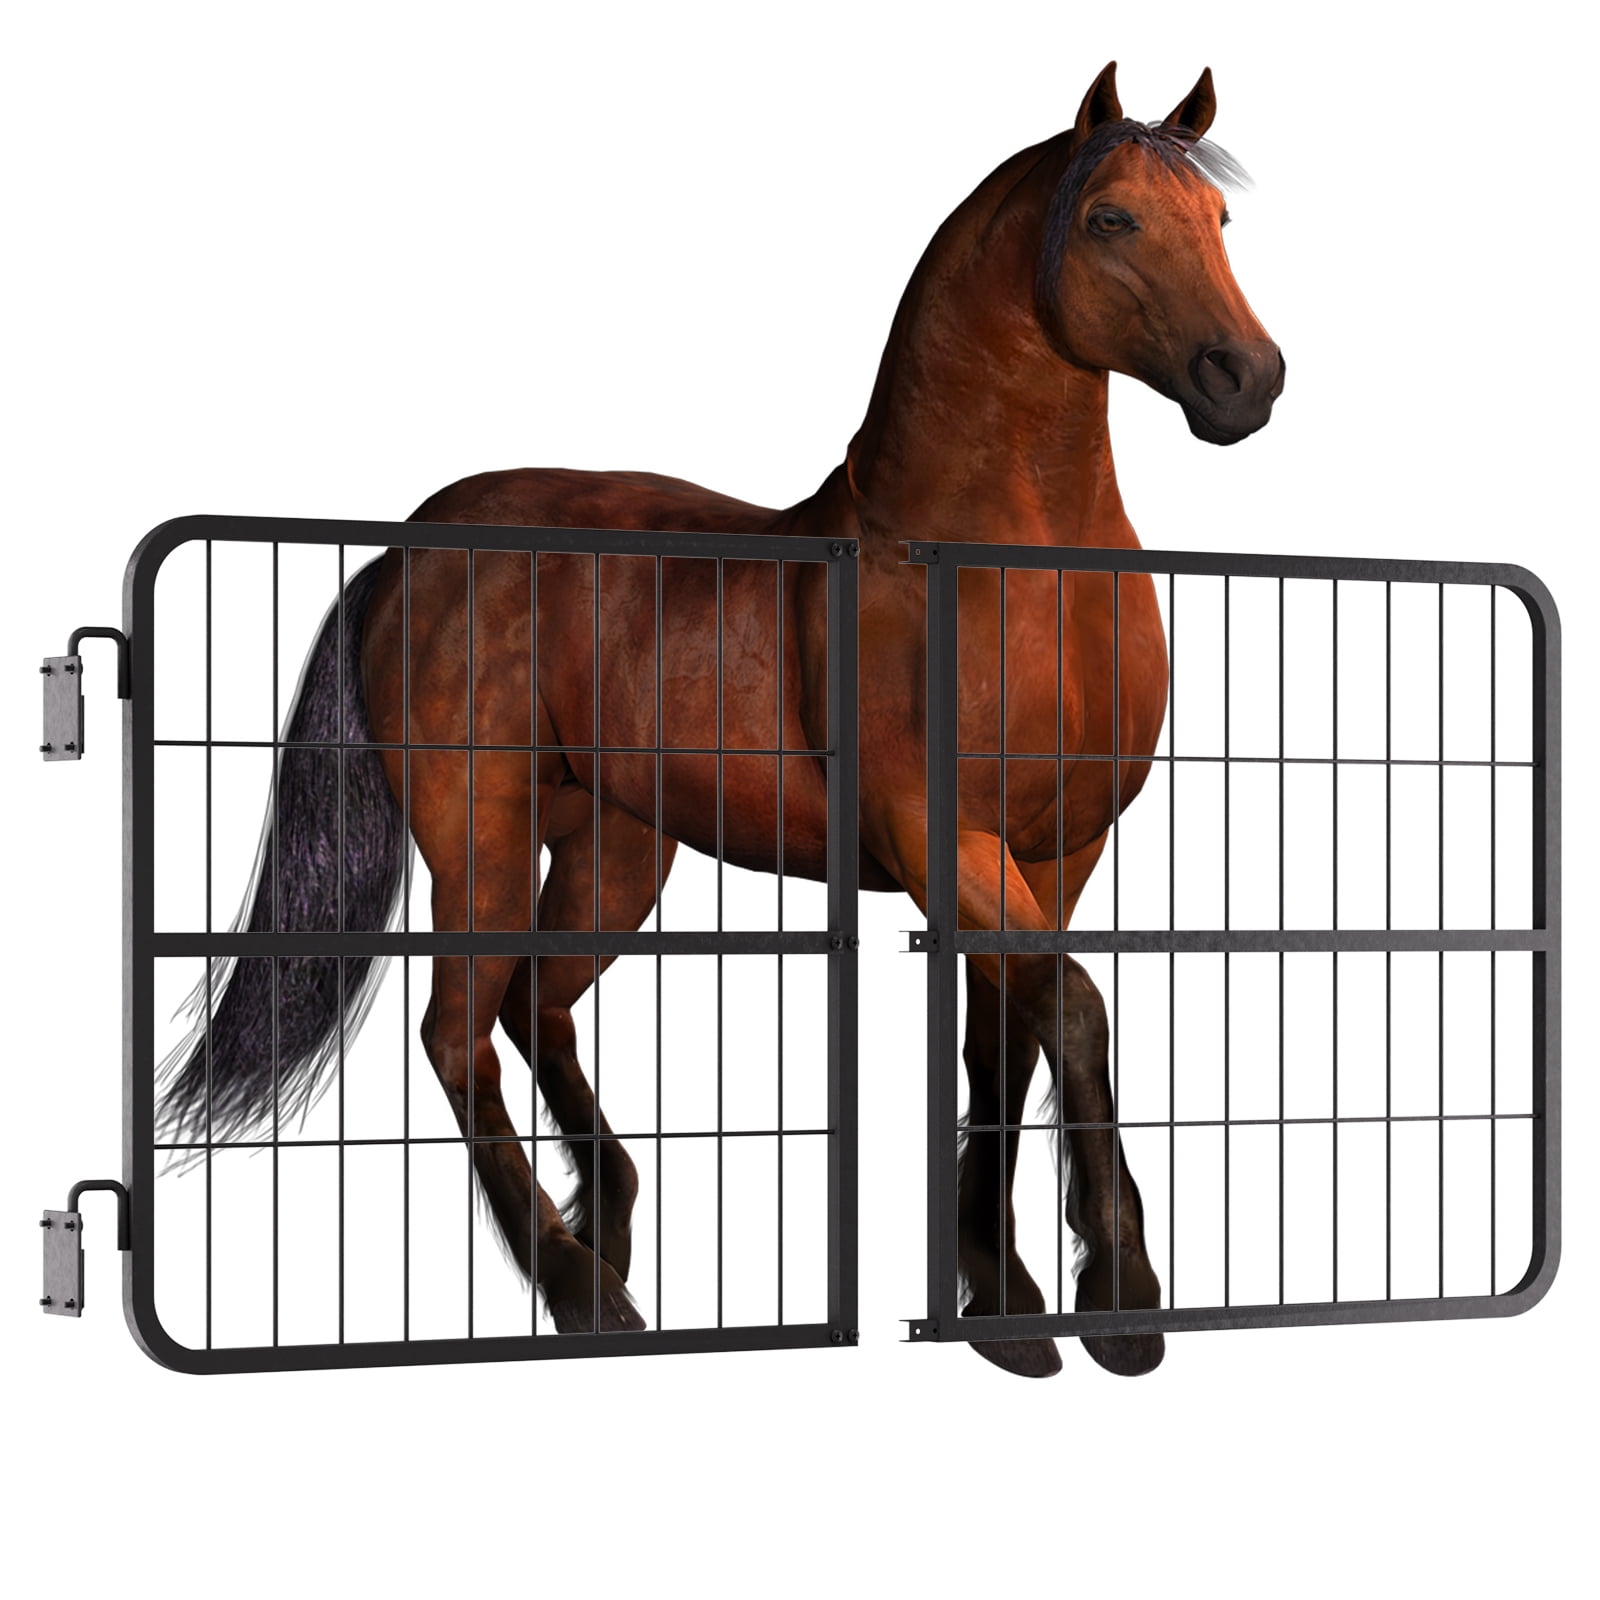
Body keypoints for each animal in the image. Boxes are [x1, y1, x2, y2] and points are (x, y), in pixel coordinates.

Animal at [162, 62, 1283, 1379]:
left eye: (1219, 221)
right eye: (1111, 218)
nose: (1247, 380)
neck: (995, 561)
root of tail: (403, 551)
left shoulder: (1058, 849)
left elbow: (1007, 1042)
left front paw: (1001, 1300)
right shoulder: (942, 842)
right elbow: (1073, 1011)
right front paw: (1118, 1302)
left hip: (614, 847)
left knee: (536, 1006)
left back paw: (606, 1240)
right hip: (475, 834)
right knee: (457, 1031)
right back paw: (578, 1291)